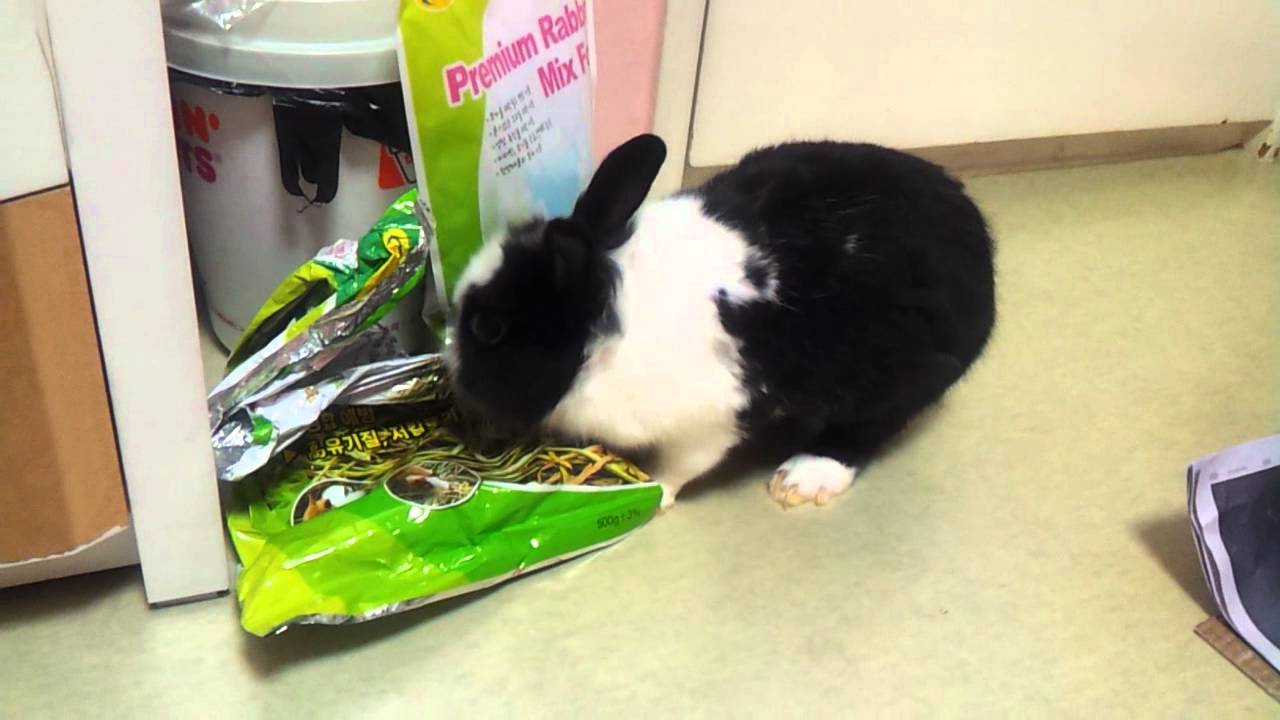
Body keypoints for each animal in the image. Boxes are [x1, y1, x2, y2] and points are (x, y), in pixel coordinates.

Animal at [446, 134, 995, 510]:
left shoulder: (709, 423)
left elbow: (679, 467)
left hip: (897, 378)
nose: (452, 371)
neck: (604, 333)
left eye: (489, 329)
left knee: (866, 430)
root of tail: (976, 240)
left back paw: (801, 479)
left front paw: (654, 496)